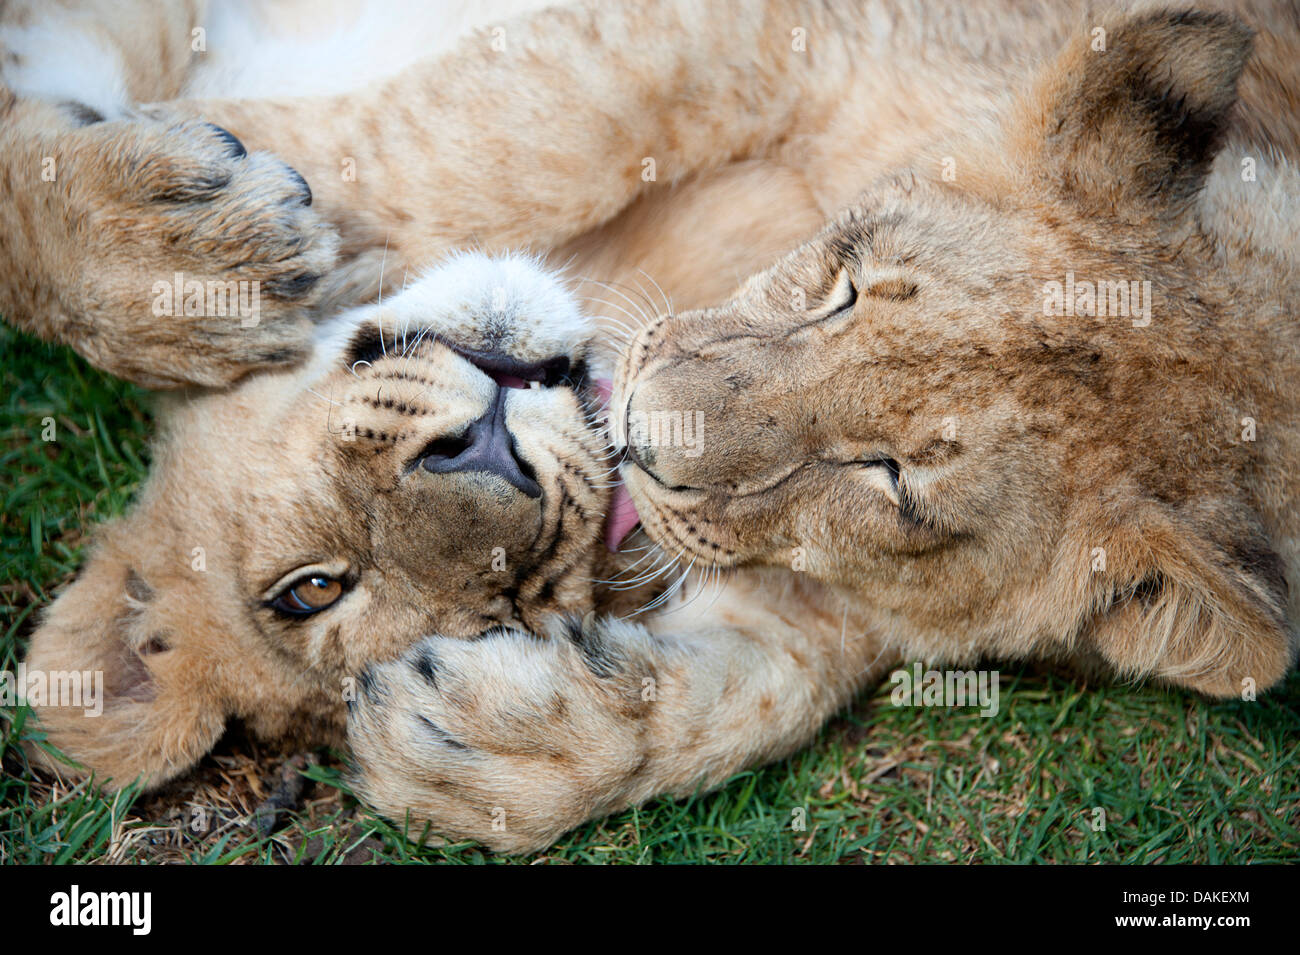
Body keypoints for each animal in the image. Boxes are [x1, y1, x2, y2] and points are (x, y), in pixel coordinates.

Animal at [7, 0, 1298, 853]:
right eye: (313, 589)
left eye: (519, 601)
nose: (627, 431)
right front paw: (187, 248)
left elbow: (772, 684)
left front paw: (496, 747)